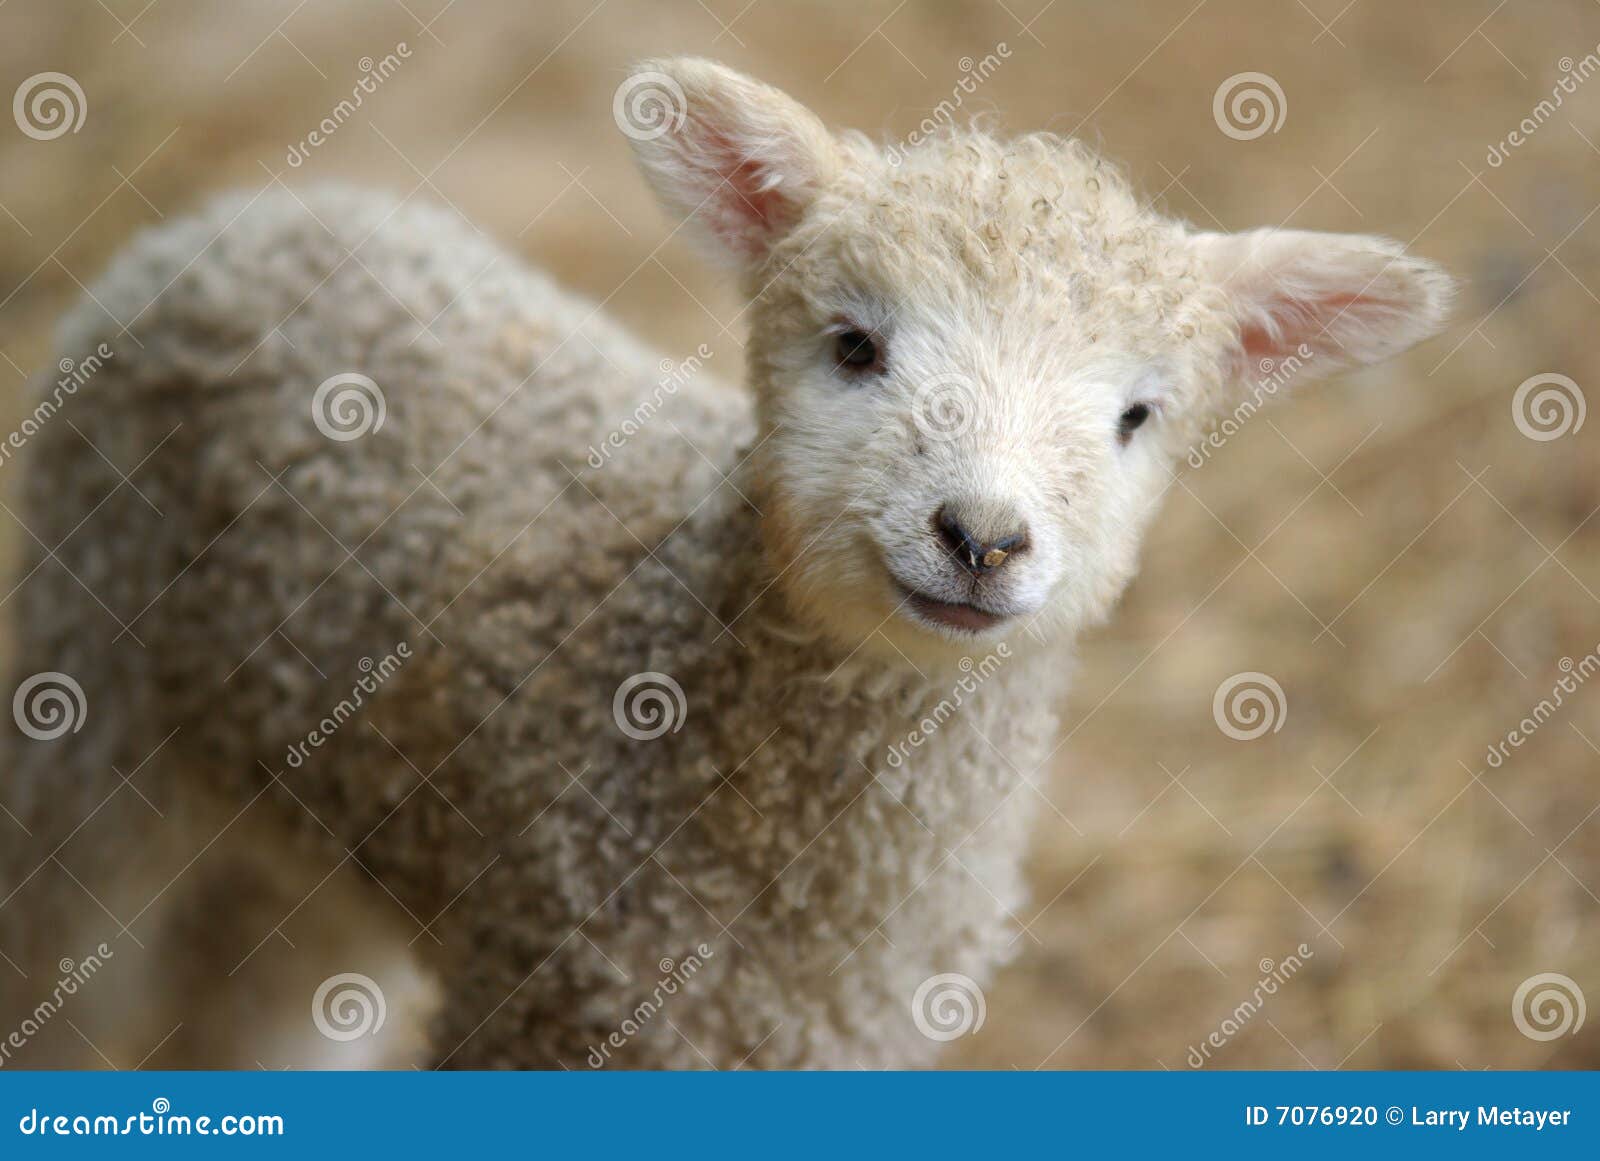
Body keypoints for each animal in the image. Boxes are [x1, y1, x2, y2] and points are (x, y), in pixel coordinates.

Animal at [0, 57, 1453, 1069]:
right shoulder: (547, 998)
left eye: (1138, 416)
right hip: (81, 697)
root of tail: (253, 207)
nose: (980, 536)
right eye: (855, 346)